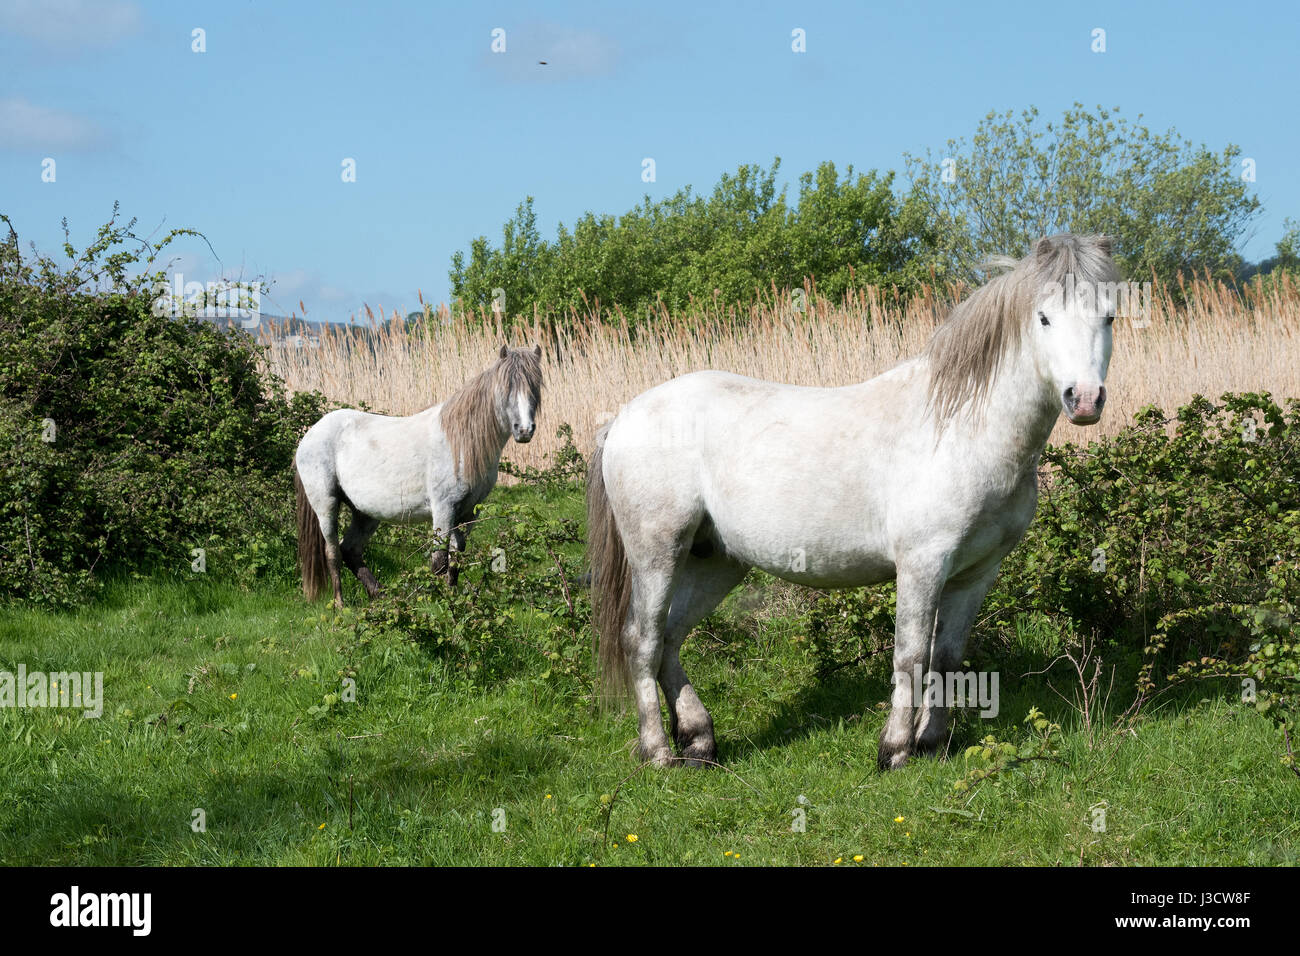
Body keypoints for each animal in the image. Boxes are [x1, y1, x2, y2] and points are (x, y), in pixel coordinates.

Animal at [294, 344, 542, 606]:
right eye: (507, 387)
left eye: (535, 385)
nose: (524, 430)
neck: (460, 443)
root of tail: (310, 434)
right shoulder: (443, 508)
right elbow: (439, 560)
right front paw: (438, 603)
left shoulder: (467, 512)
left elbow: (457, 557)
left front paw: (453, 597)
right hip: (326, 505)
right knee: (332, 552)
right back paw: (341, 605)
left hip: (364, 513)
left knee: (350, 550)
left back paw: (381, 595)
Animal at [587, 234, 1120, 770]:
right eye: (1044, 317)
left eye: (1110, 316)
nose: (1085, 399)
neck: (959, 428)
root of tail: (624, 416)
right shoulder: (922, 564)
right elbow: (910, 655)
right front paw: (896, 750)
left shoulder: (975, 574)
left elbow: (947, 658)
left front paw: (933, 743)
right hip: (658, 554)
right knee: (643, 640)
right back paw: (658, 752)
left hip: (714, 560)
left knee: (671, 637)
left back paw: (698, 741)